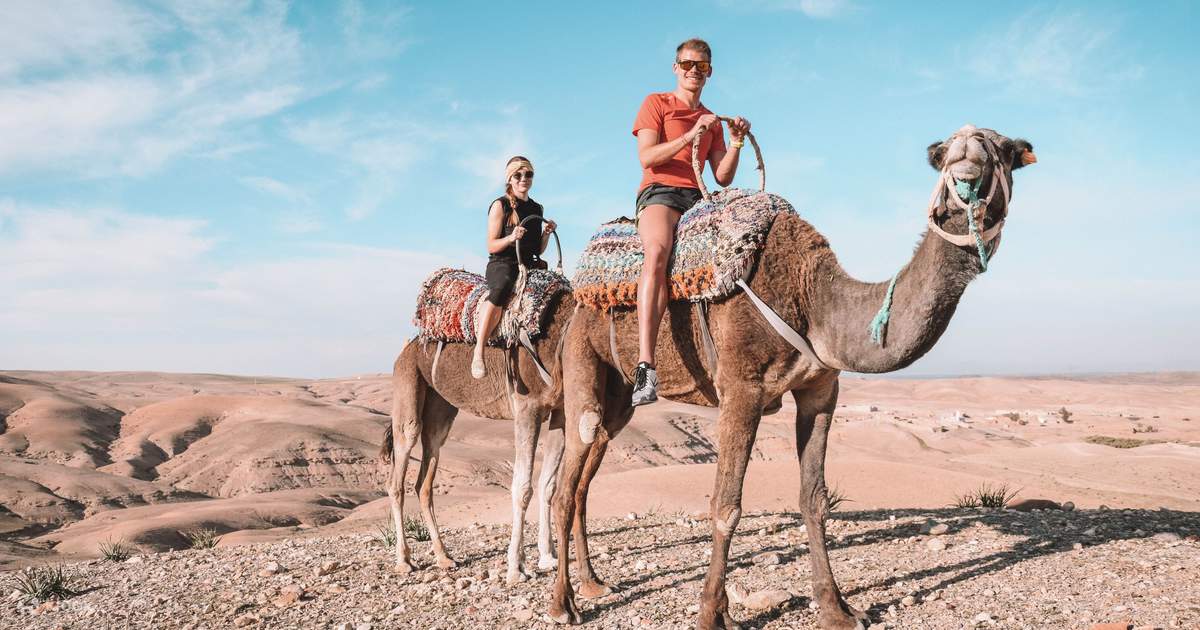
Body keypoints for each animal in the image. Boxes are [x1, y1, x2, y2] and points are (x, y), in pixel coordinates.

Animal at [548, 125, 1036, 628]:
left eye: (1005, 150)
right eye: (942, 155)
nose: (967, 150)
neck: (812, 297)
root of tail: (579, 297)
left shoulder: (820, 388)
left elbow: (815, 499)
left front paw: (836, 609)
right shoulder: (741, 387)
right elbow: (726, 506)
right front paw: (712, 613)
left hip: (619, 395)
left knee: (585, 478)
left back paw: (592, 583)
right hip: (583, 358)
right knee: (566, 481)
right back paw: (563, 602)